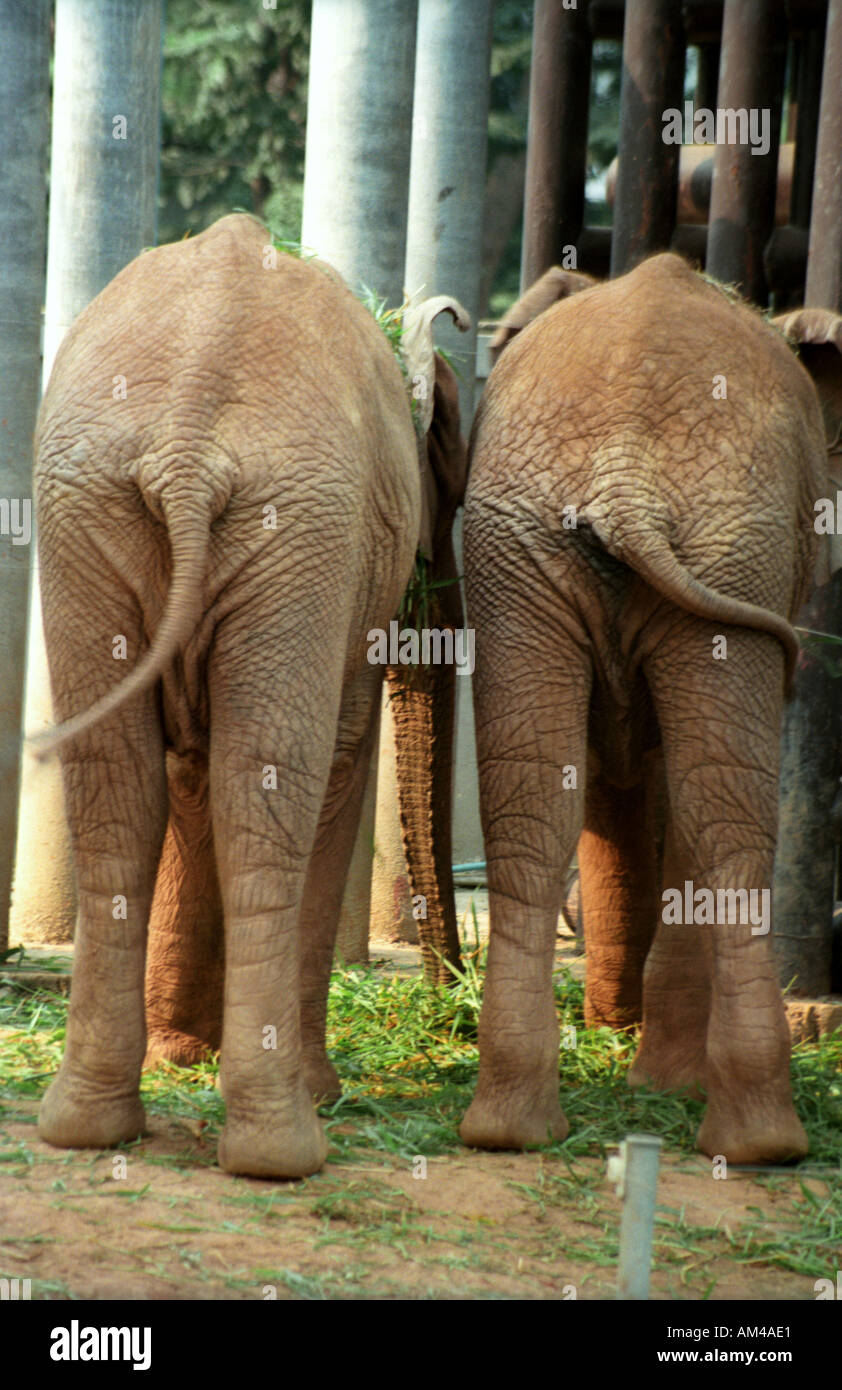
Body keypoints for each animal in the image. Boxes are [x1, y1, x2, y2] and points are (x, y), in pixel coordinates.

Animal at [33, 213, 469, 1179]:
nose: (452, 1003)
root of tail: (188, 439)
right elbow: (335, 762)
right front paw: (291, 1081)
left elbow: (188, 767)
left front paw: (184, 1055)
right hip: (293, 526)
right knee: (268, 786)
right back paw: (288, 1143)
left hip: (95, 514)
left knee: (119, 783)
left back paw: (91, 1127)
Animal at [461, 251, 842, 1164]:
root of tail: (626, 474)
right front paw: (650, 1068)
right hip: (728, 548)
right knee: (724, 808)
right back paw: (748, 1134)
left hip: (526, 547)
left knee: (532, 795)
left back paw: (511, 1130)